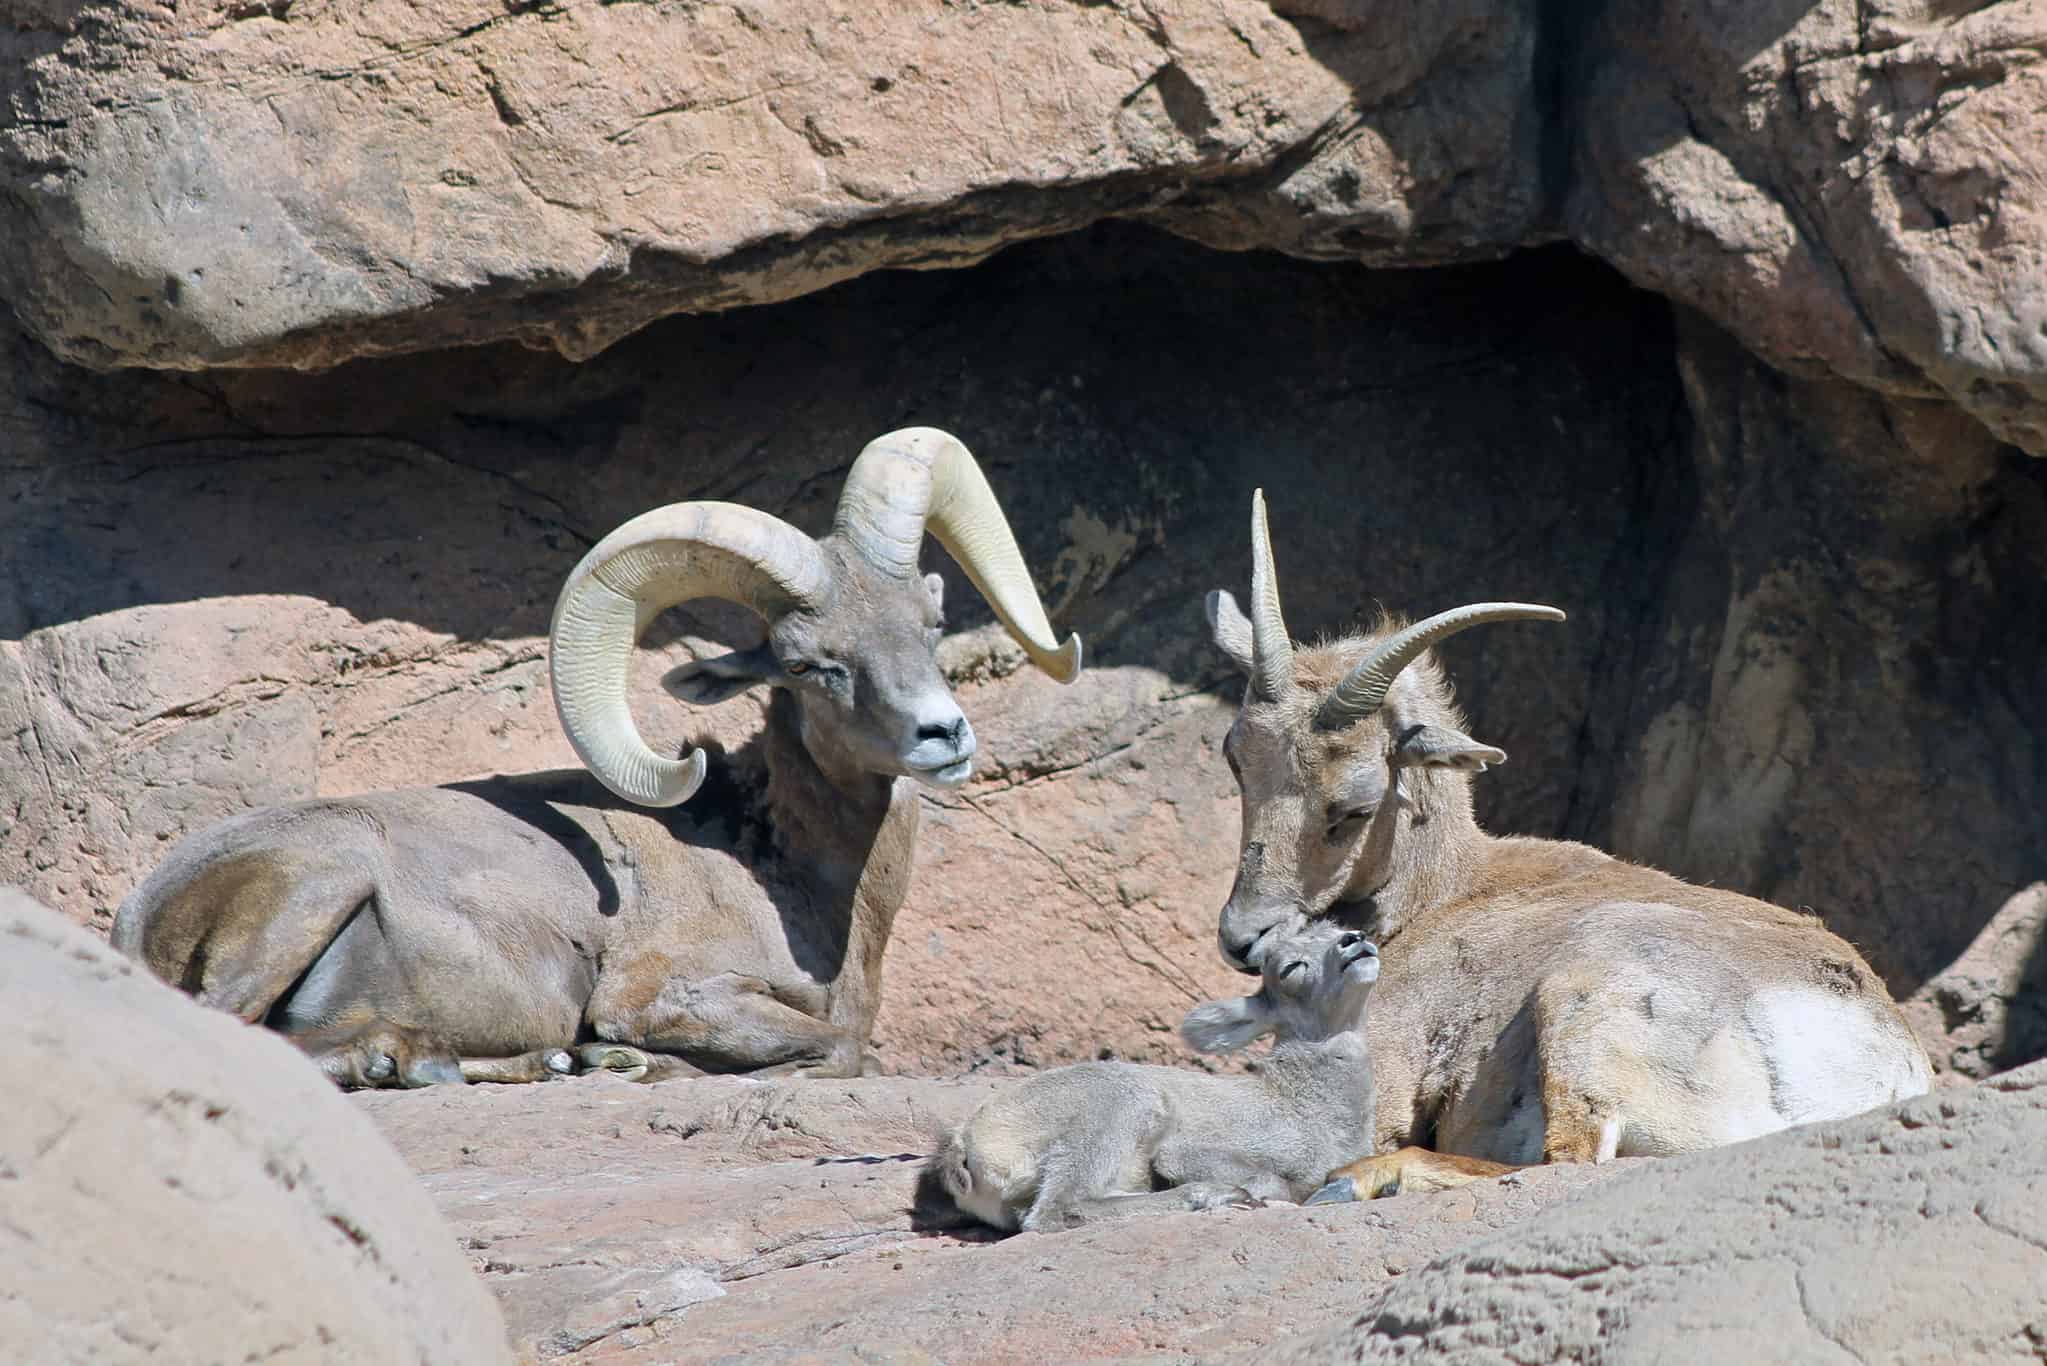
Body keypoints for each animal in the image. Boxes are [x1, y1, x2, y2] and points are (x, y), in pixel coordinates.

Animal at [111, 428, 1081, 1088]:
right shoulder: (662, 996)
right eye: (812, 664)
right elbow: (840, 1049)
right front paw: (634, 1063)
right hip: (322, 877)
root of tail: (141, 911)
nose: (942, 735)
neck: (789, 873)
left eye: (929, 623)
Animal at [930, 917, 1383, 1233]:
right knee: (1058, 1209)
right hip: (1121, 1107)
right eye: (1291, 968)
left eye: (1336, 929)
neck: (1306, 1106)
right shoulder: (1186, 1152)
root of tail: (965, 1144)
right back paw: (1215, 1196)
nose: (1354, 940)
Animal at [1203, 490, 1932, 1197]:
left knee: (1566, 1163)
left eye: (1353, 806)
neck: (1443, 896)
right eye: (1237, 759)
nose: (1242, 939)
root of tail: (1870, 1068)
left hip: (1584, 1003)